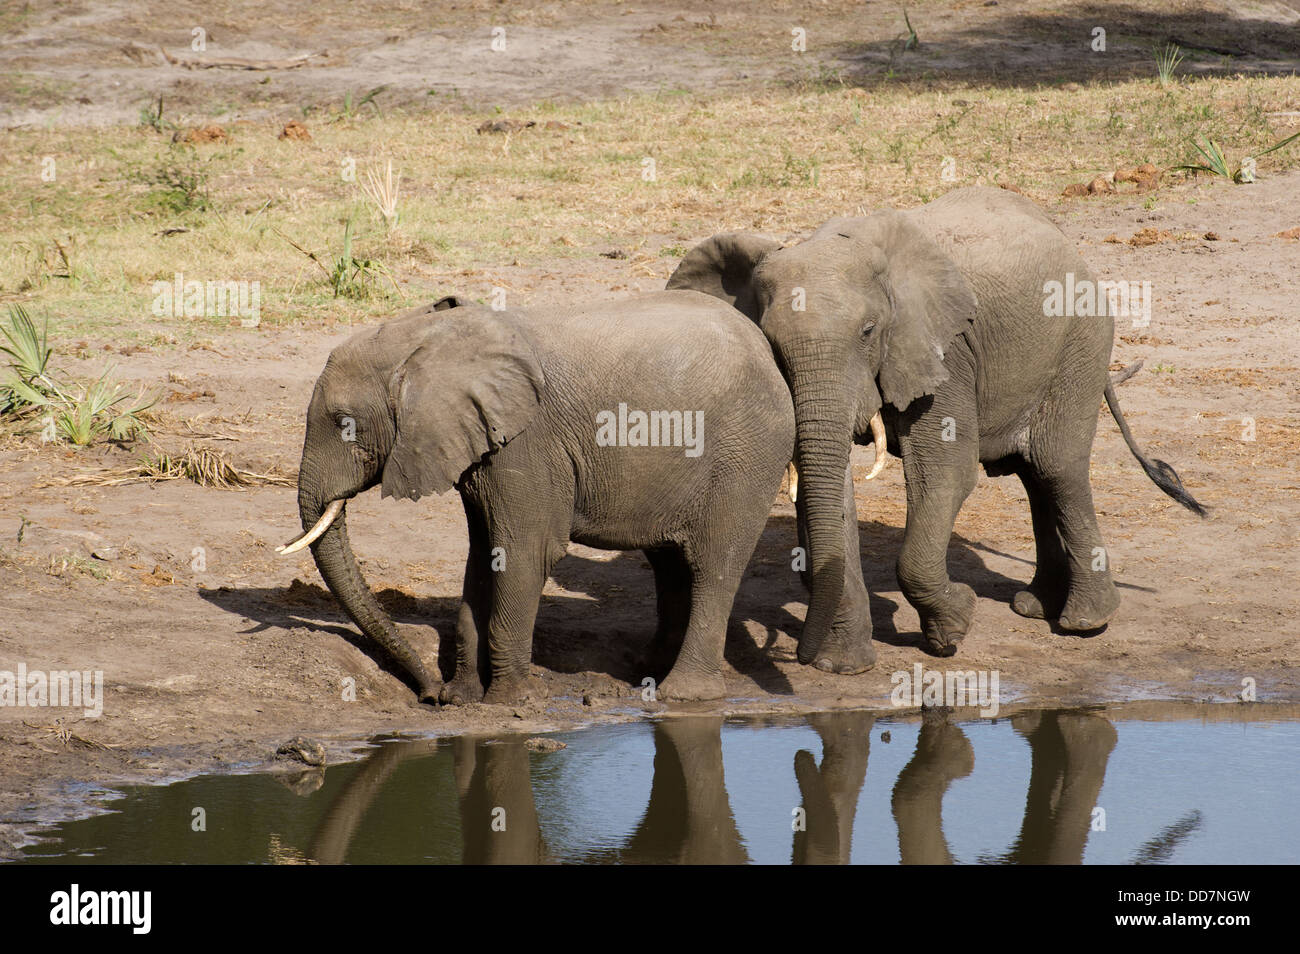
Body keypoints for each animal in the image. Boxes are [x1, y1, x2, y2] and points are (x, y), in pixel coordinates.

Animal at [277, 290, 795, 704]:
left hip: (747, 456)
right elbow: (484, 556)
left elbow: (525, 553)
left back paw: (683, 695)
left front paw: (506, 703)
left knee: (714, 564)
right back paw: (645, 673)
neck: (425, 340)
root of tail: (767, 351)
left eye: (344, 423)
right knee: (669, 564)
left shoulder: (529, 443)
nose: (427, 694)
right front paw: (463, 698)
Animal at [667, 185, 1206, 669]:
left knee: (1058, 467)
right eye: (772, 344)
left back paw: (1085, 622)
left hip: (1082, 337)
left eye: (868, 332)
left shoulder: (946, 351)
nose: (792, 656)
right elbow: (833, 493)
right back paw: (1035, 606)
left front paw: (955, 627)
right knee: (1033, 475)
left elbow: (943, 472)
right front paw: (844, 666)